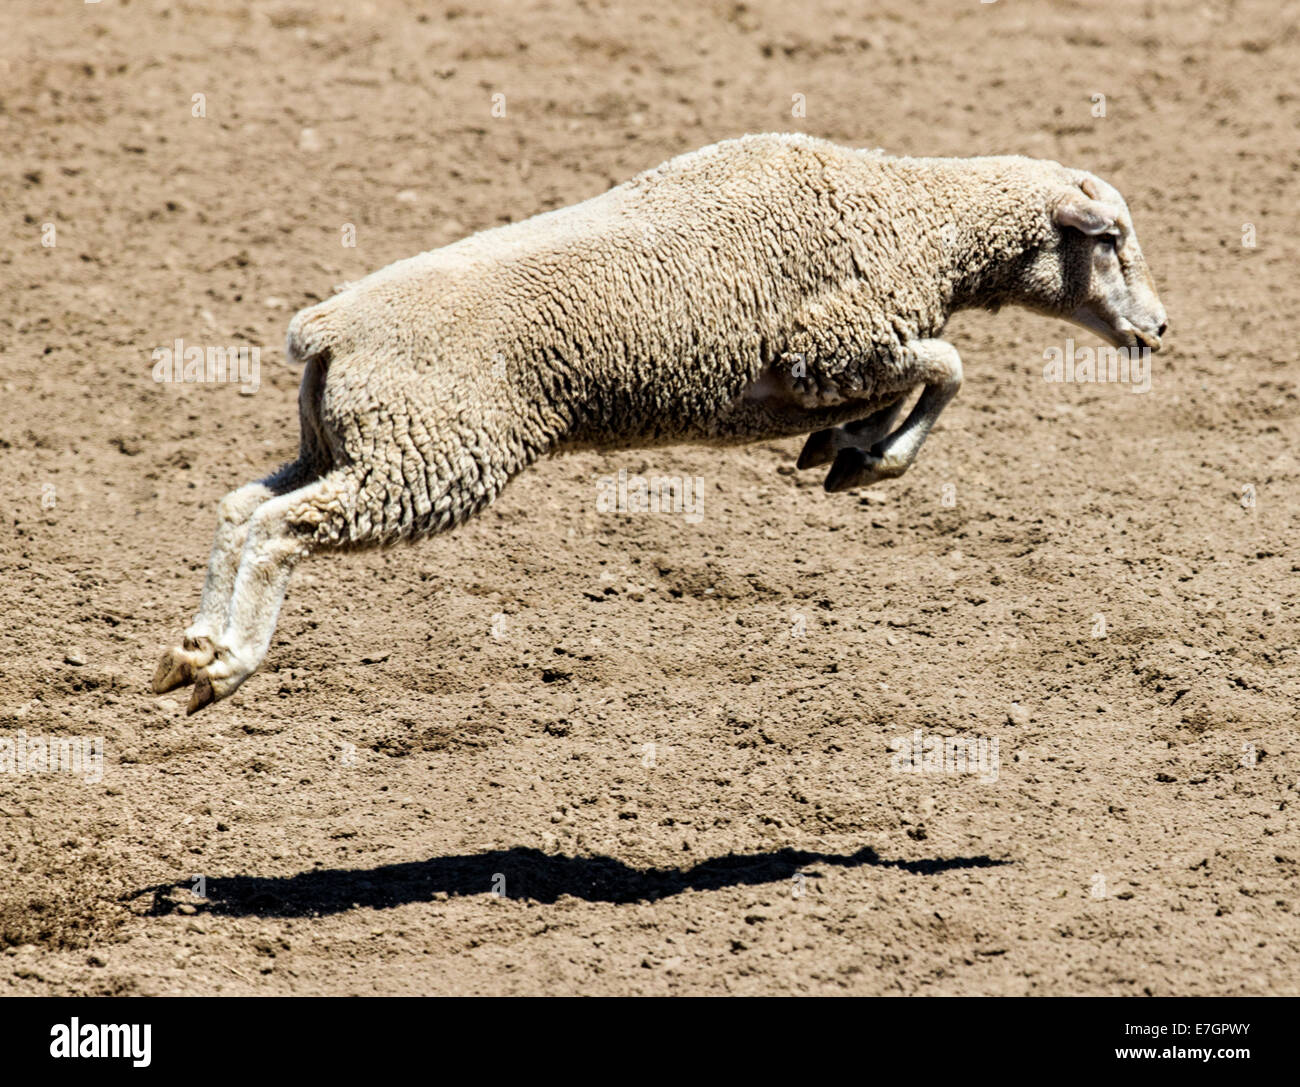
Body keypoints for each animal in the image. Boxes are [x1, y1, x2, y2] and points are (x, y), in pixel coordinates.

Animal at [153, 132, 1167, 713]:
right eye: (1110, 240)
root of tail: (328, 326)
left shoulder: (832, 365)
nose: (1158, 328)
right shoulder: (831, 346)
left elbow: (922, 379)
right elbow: (950, 369)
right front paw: (871, 458)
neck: (921, 221)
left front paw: (845, 448)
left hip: (348, 443)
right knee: (282, 530)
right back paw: (230, 664)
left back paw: (193, 652)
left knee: (241, 506)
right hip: (427, 454)